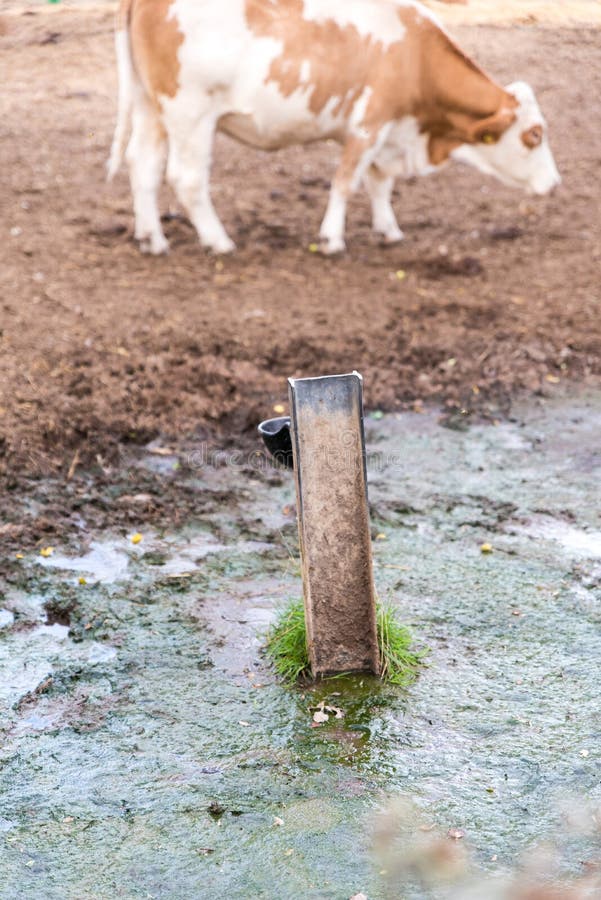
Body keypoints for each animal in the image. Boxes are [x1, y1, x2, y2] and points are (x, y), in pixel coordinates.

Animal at [107, 0, 560, 255]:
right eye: (534, 135)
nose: (555, 184)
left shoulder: (388, 131)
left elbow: (380, 183)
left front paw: (388, 230)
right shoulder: (368, 125)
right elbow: (346, 182)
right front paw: (331, 240)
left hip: (150, 107)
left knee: (142, 166)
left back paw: (152, 239)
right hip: (190, 115)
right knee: (186, 178)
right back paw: (218, 242)